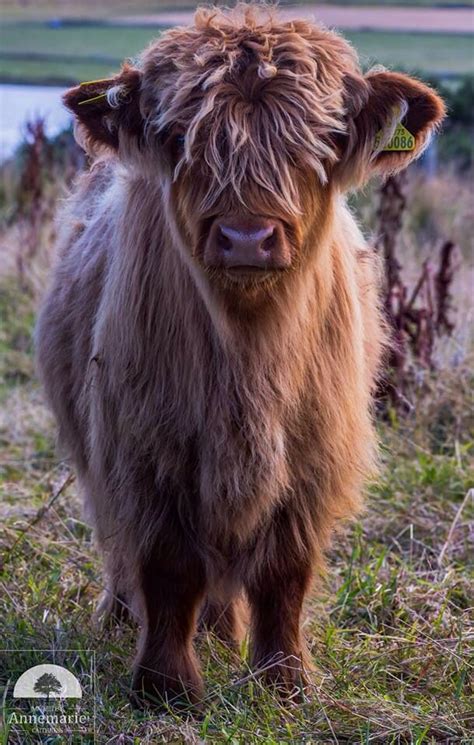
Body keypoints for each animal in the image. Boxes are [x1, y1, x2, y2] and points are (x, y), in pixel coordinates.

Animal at [36, 4, 445, 706]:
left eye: (322, 141)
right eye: (180, 137)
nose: (247, 237)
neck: (250, 359)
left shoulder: (312, 457)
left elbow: (284, 574)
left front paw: (283, 681)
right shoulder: (146, 447)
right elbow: (167, 567)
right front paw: (165, 687)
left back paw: (224, 635)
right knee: (120, 544)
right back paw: (119, 618)